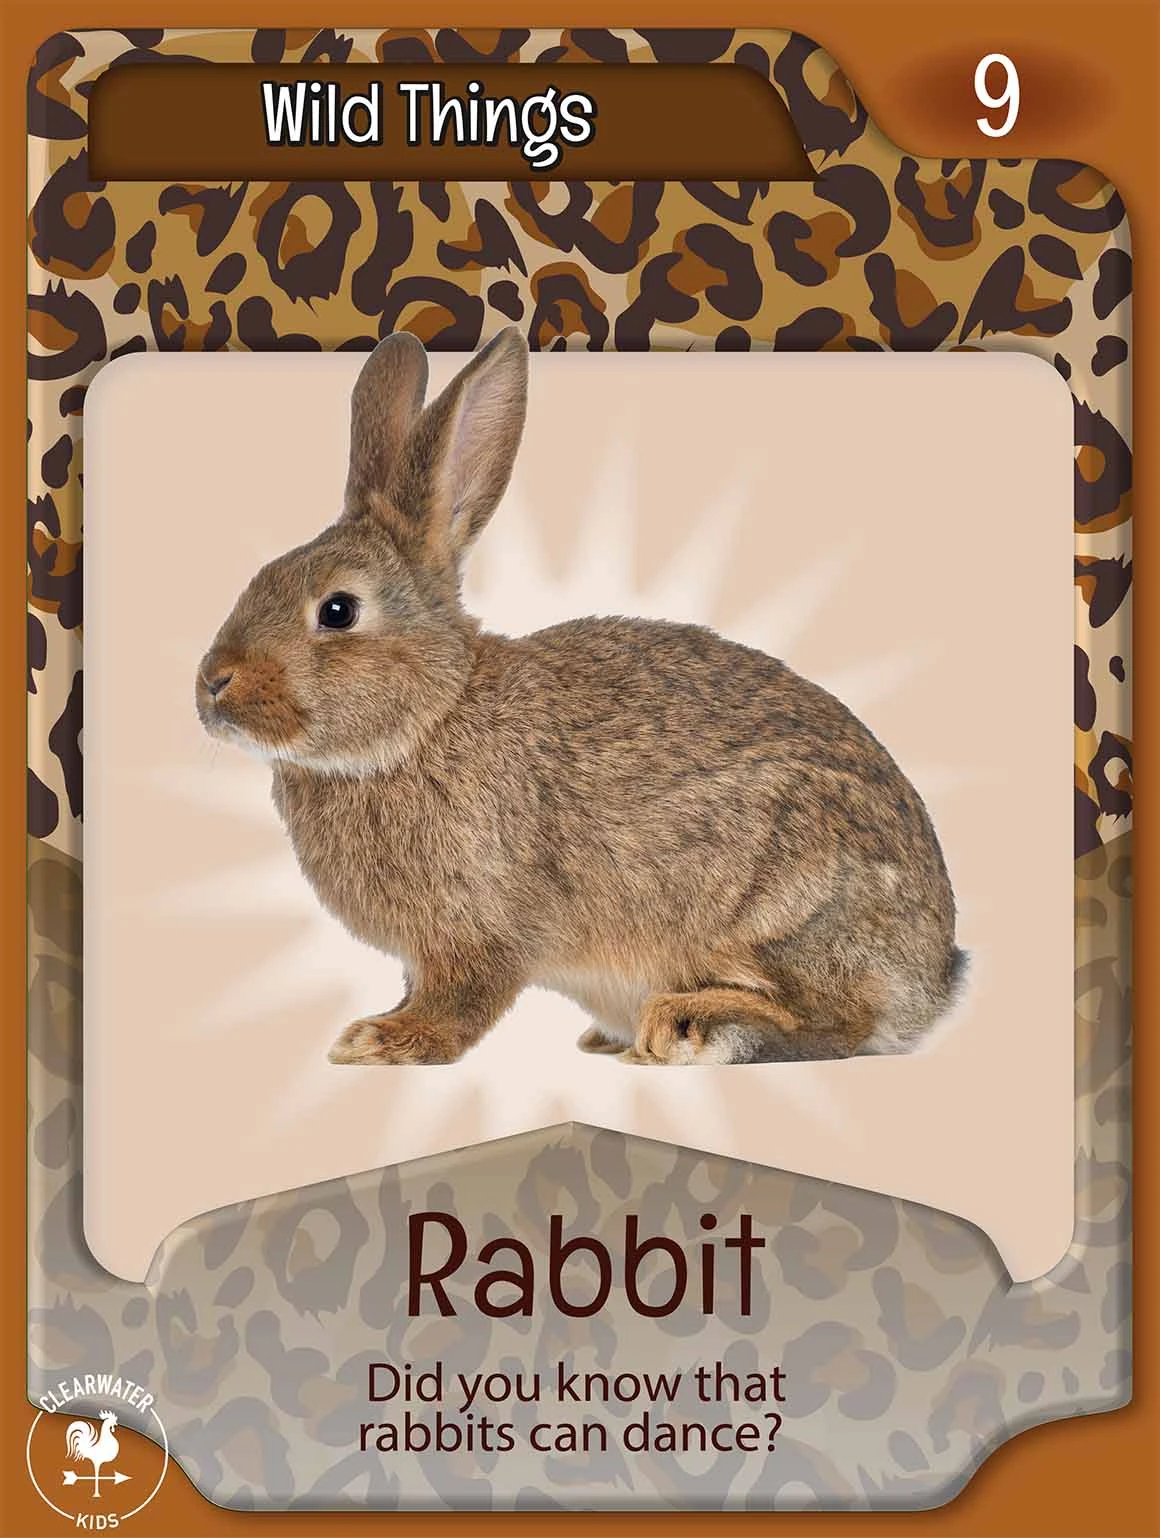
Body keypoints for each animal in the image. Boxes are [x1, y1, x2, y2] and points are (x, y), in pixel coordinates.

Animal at [196, 327, 966, 1066]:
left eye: (337, 611)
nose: (211, 685)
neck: (428, 718)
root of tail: (931, 978)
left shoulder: (479, 929)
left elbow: (461, 1000)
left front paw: (384, 1040)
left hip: (784, 902)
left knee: (837, 1022)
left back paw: (689, 1025)